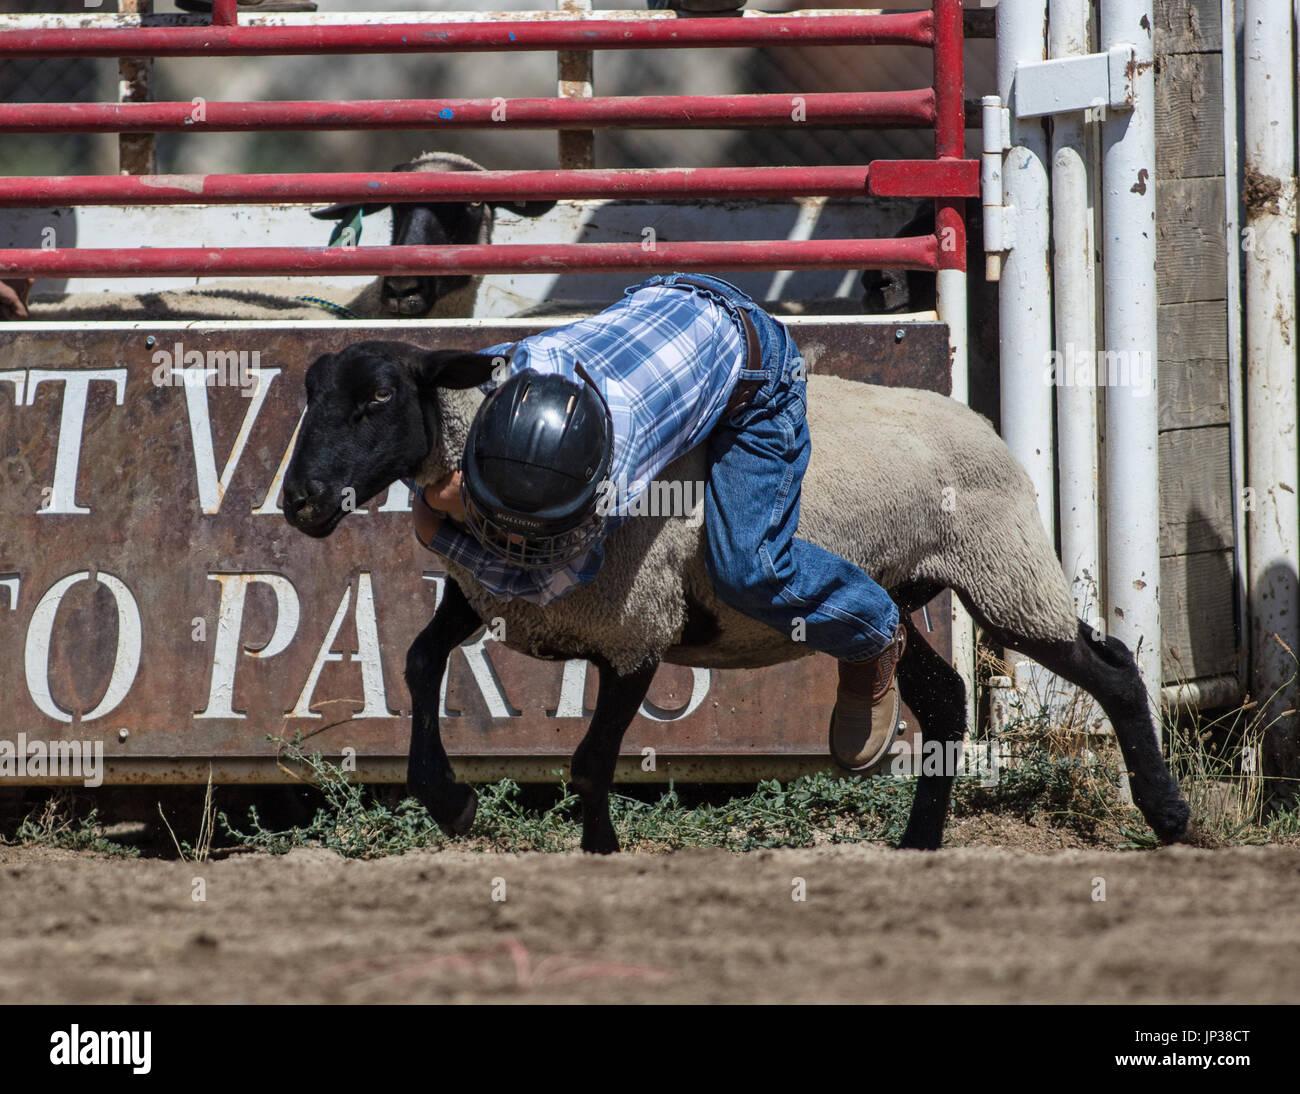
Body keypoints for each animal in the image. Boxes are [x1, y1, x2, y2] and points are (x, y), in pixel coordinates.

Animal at [280, 339, 1192, 854]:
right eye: (310, 396)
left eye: (378, 398)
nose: (300, 500)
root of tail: (975, 418)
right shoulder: (493, 593)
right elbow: (418, 658)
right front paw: (448, 799)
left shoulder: (635, 628)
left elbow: (590, 762)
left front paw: (600, 853)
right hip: (902, 592)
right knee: (942, 696)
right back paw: (919, 842)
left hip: (1003, 571)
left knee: (1113, 669)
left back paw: (1169, 815)